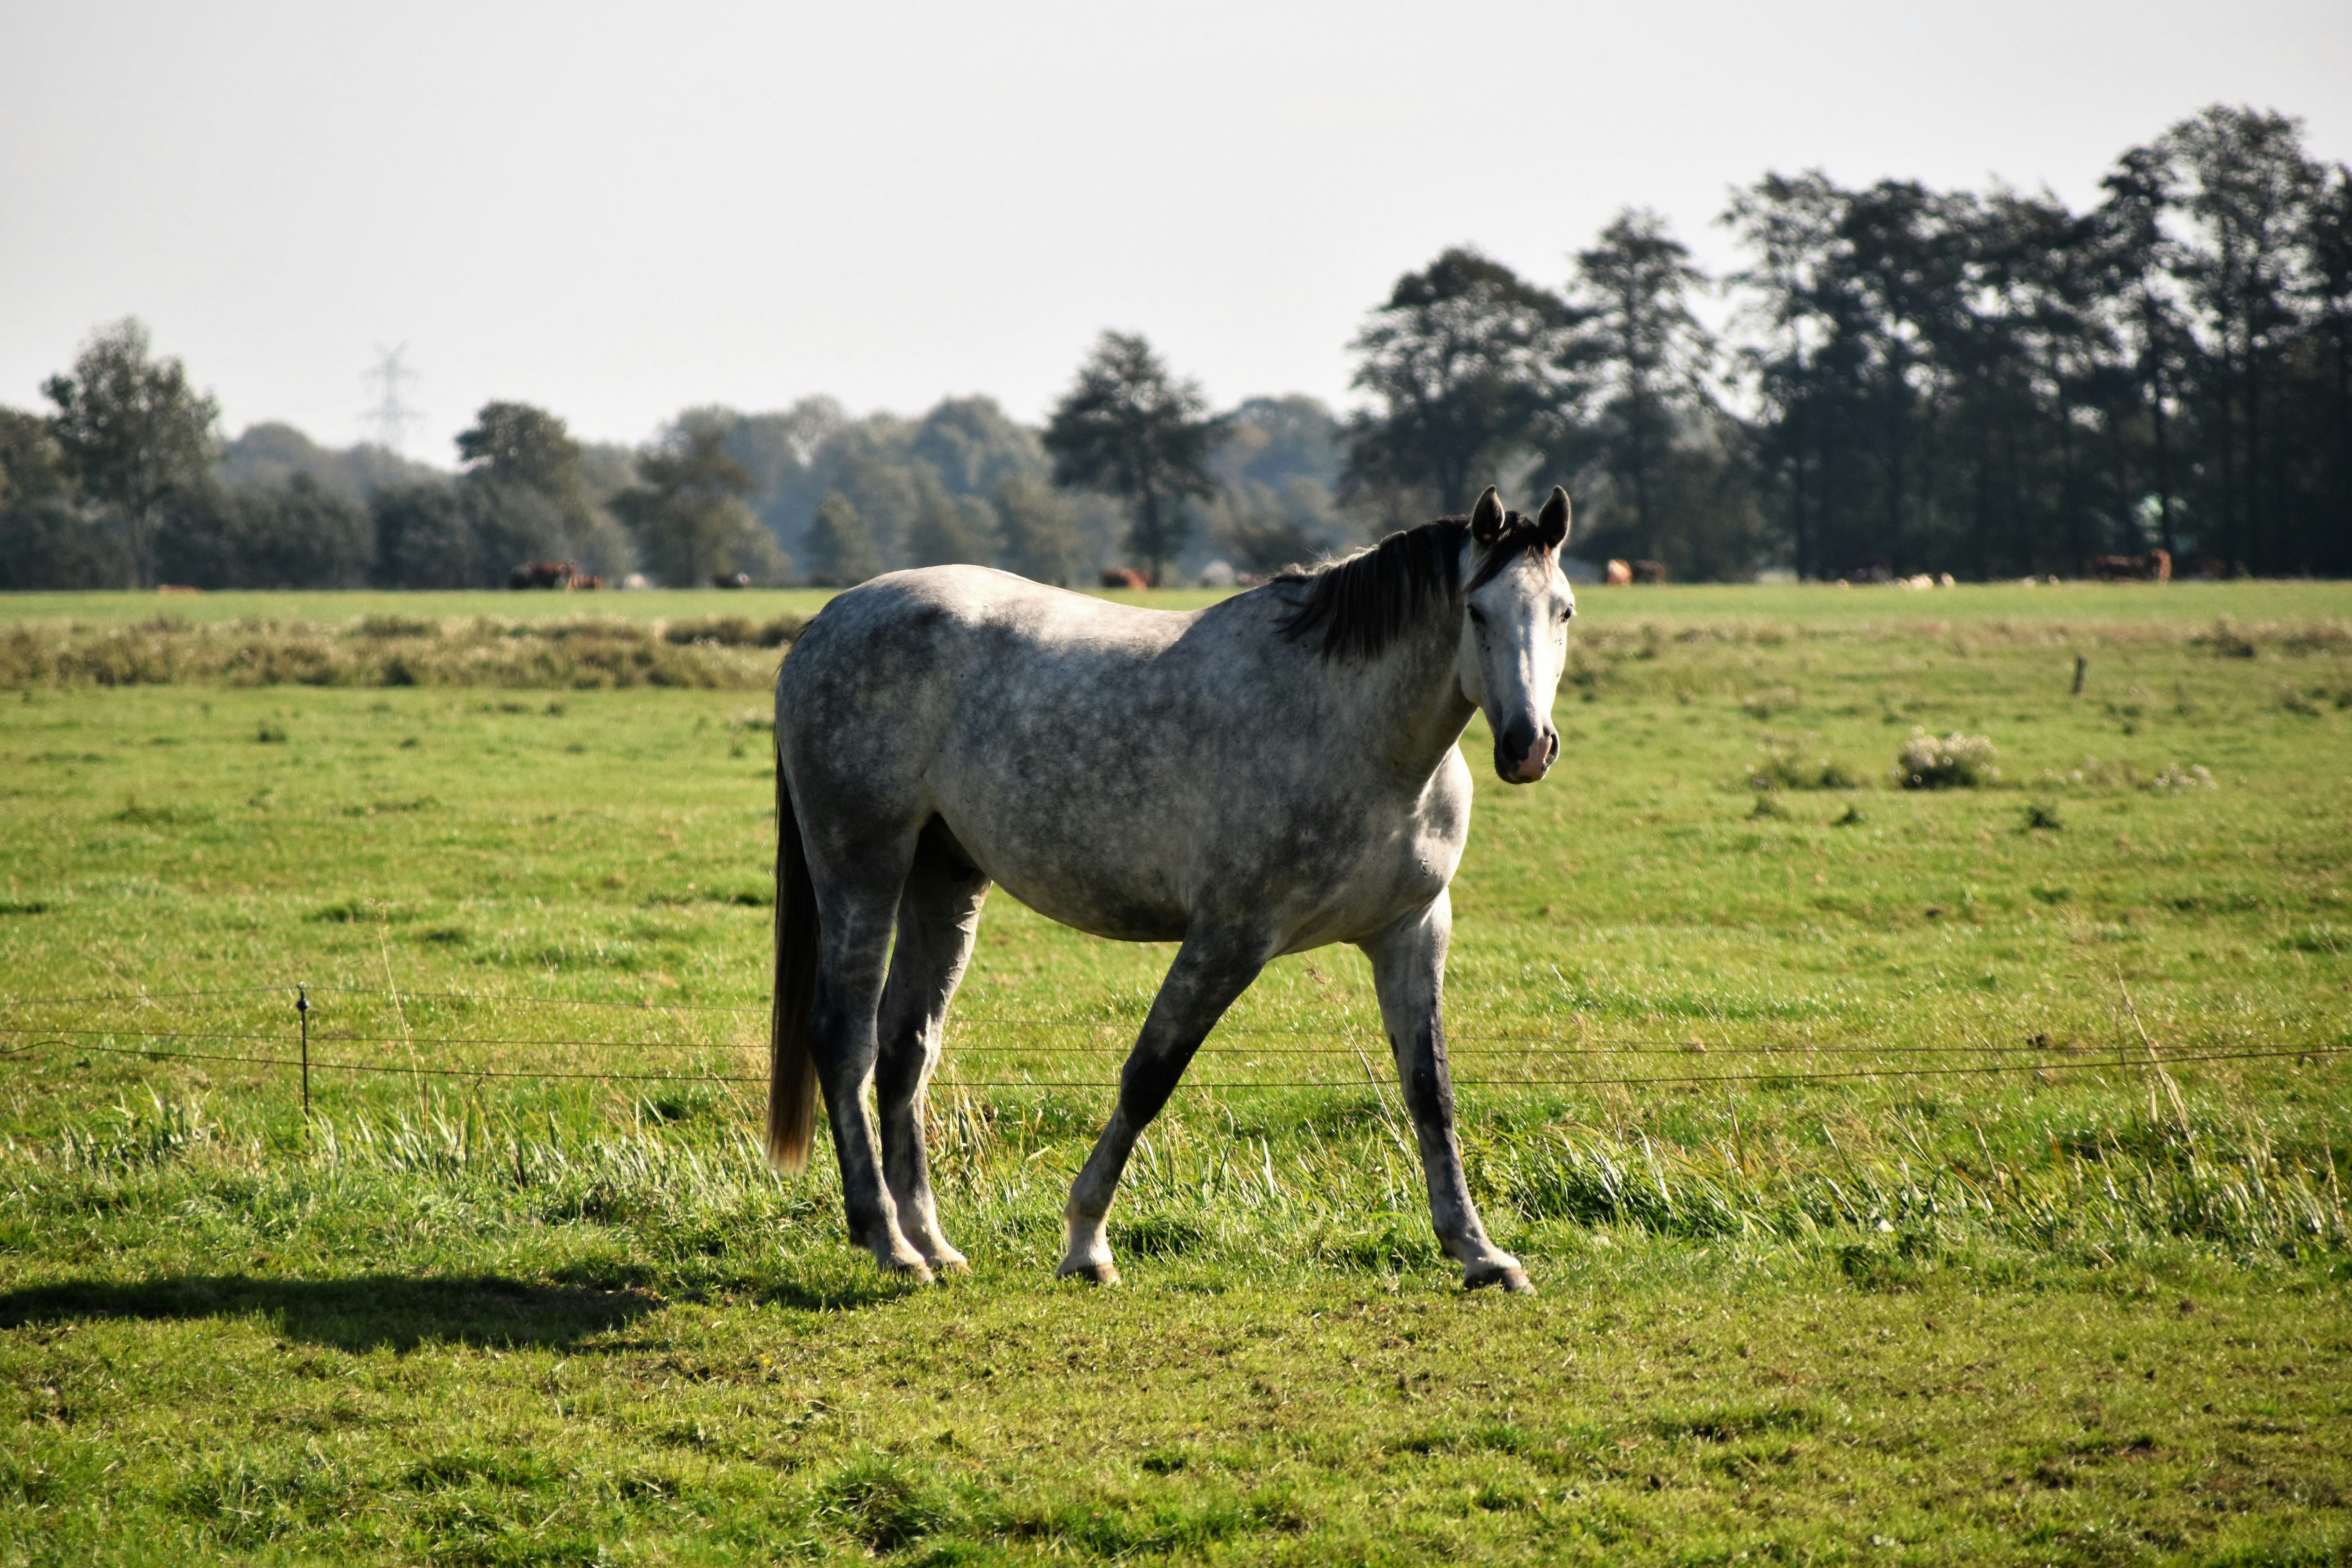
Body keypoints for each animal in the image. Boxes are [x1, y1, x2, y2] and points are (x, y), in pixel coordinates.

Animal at [767, 485, 1575, 1293]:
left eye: (1562, 610)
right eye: (1478, 612)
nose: (1529, 746)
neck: (1357, 733)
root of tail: (826, 622)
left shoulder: (1412, 931)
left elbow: (1430, 1091)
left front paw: (1479, 1252)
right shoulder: (1229, 938)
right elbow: (1148, 1079)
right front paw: (1086, 1243)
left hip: (946, 878)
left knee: (907, 1048)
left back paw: (931, 1241)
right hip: (863, 867)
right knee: (844, 1038)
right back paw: (888, 1242)